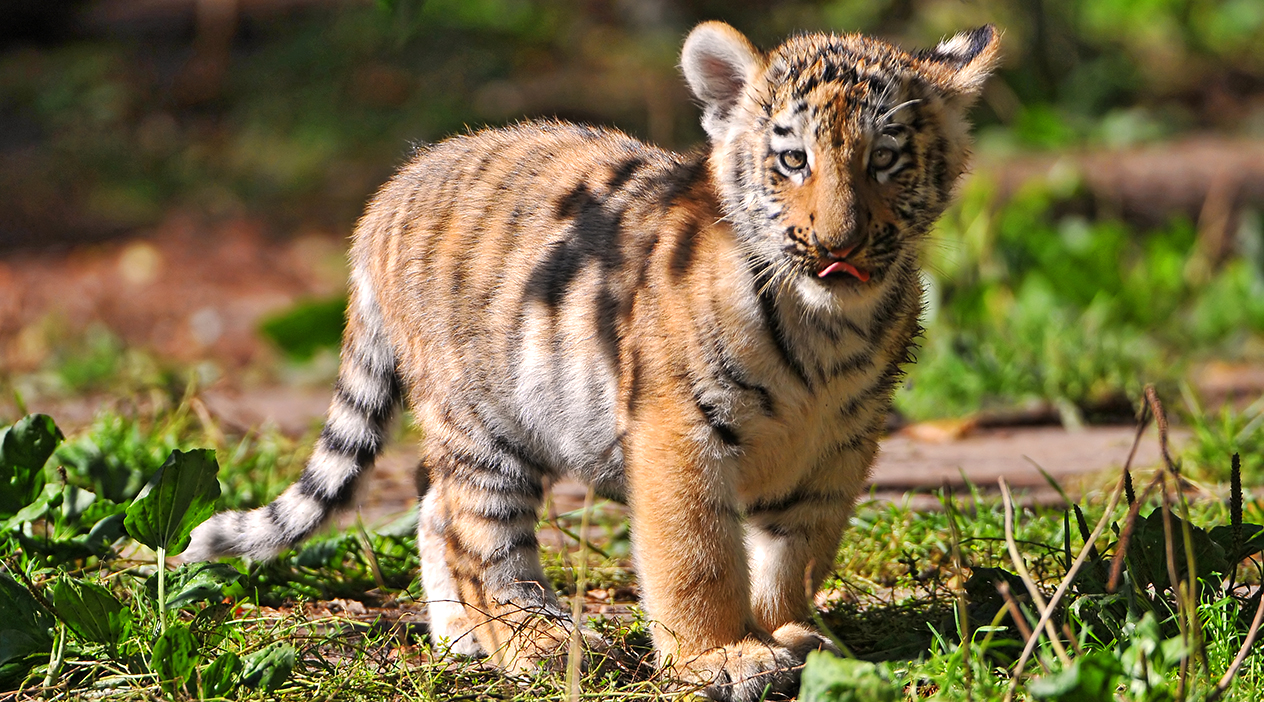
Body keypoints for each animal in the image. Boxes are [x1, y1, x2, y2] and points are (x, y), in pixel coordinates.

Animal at [185, 20, 999, 700]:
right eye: (792, 160)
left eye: (885, 160)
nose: (839, 245)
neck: (828, 325)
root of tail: (389, 192)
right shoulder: (679, 428)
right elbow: (697, 554)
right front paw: (719, 656)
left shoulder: (840, 443)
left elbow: (797, 550)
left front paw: (795, 632)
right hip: (482, 423)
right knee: (479, 536)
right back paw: (536, 644)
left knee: (432, 506)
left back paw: (462, 638)